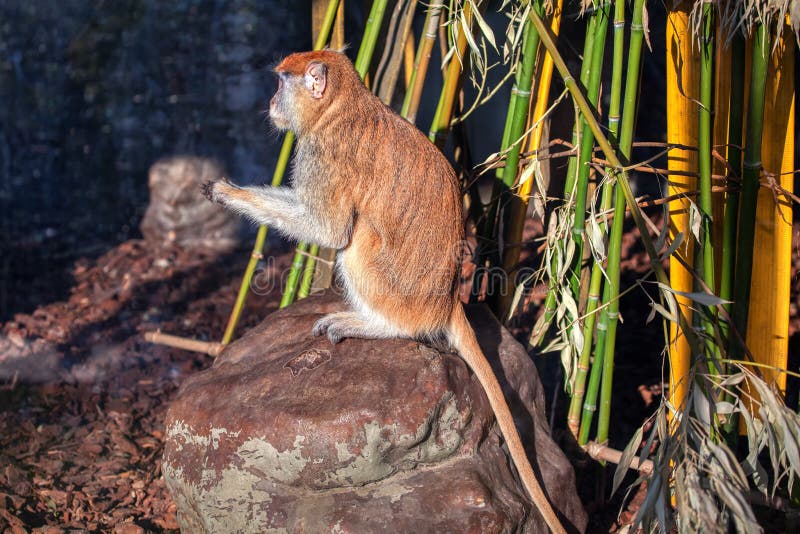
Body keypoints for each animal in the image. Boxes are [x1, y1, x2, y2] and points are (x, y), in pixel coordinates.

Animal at [203, 50, 566, 534]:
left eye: (281, 83)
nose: (272, 103)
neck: (343, 107)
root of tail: (446, 300)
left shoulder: (325, 154)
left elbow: (330, 229)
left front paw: (230, 195)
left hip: (396, 290)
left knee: (358, 240)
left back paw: (374, 324)